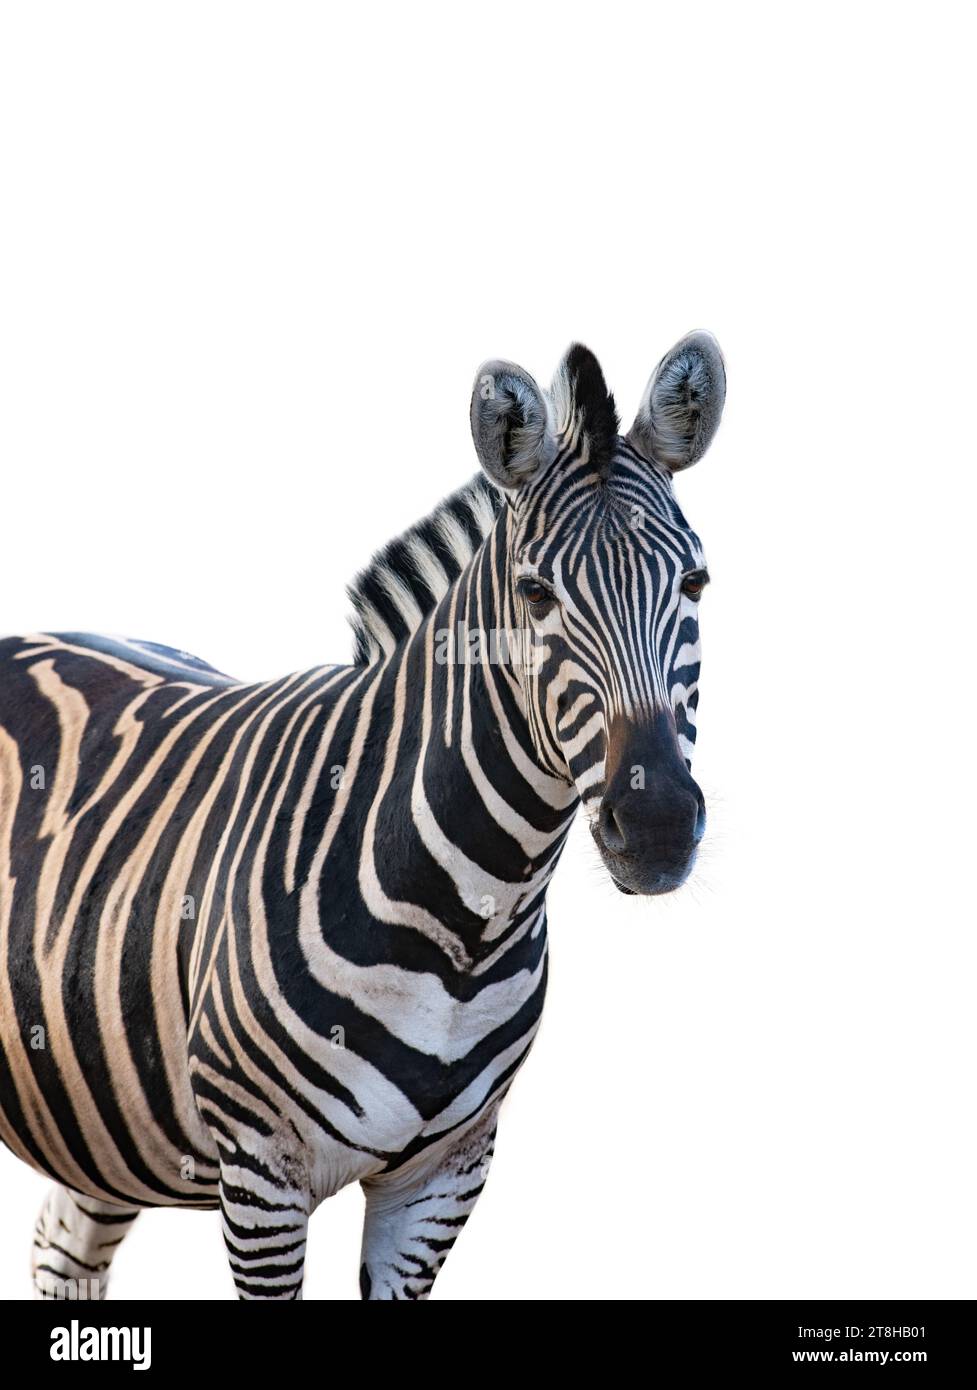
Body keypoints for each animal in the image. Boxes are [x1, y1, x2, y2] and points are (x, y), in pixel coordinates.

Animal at [0, 332, 725, 1300]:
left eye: (695, 582)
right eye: (534, 595)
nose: (655, 829)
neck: (467, 919)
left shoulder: (444, 1175)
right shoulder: (260, 1173)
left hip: (101, 1117)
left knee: (62, 1246)